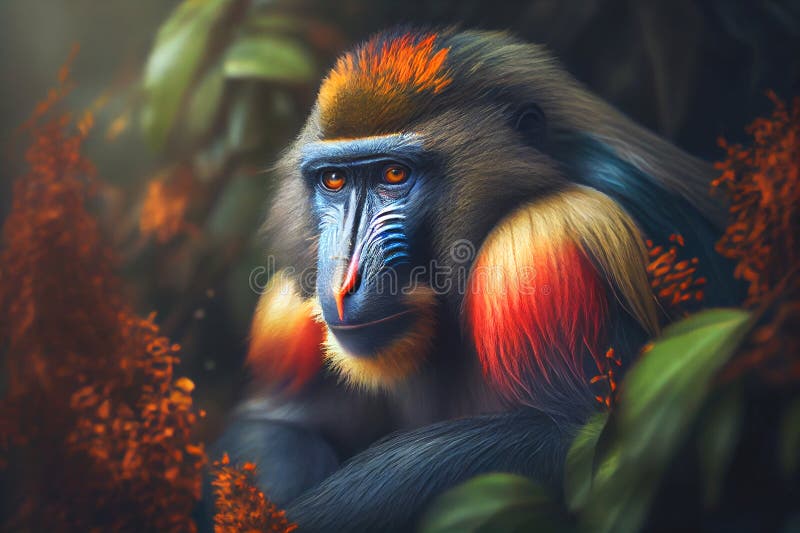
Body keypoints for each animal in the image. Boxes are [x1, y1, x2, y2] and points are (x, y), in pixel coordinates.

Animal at [208, 28, 739, 532]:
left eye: (394, 174)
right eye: (334, 180)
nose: (342, 283)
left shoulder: (547, 240)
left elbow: (576, 444)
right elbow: (281, 425)